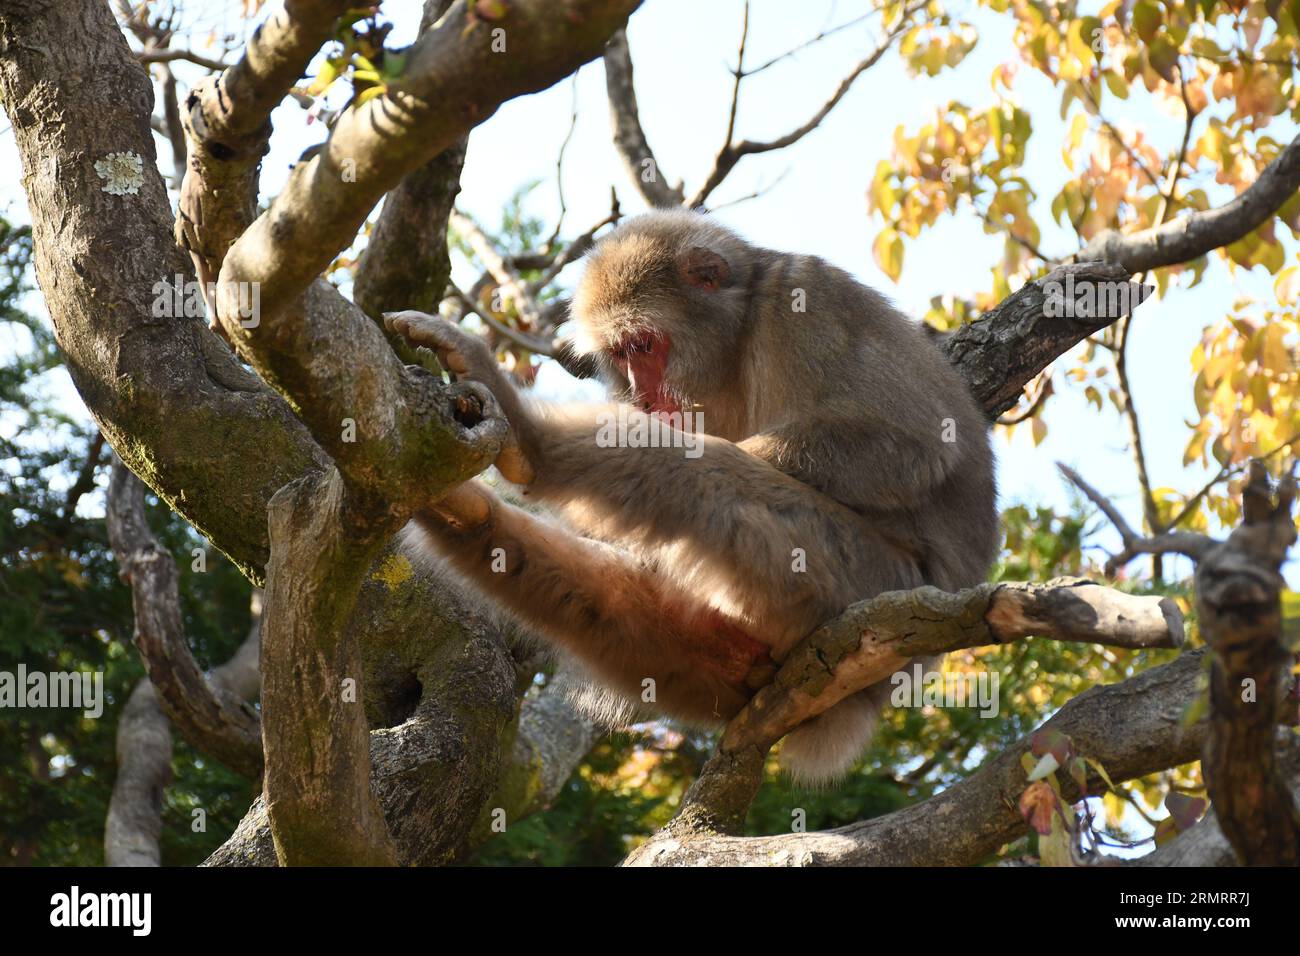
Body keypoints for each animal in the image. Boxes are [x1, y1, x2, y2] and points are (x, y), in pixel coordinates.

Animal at [387, 209, 998, 784]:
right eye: (620, 355)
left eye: (643, 345)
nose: (642, 394)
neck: (740, 339)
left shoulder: (809, 300)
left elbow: (914, 444)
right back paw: (466, 514)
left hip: (871, 580)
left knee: (706, 478)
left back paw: (531, 444)